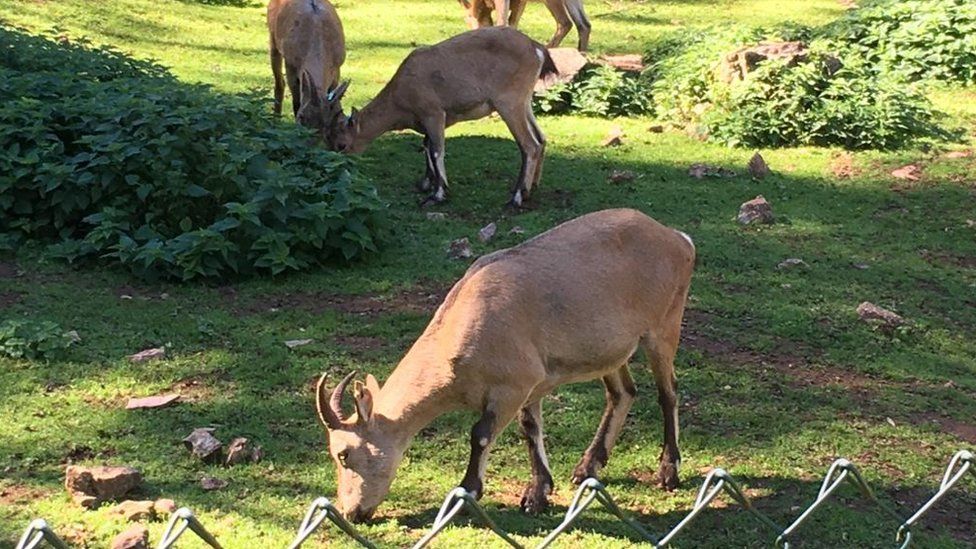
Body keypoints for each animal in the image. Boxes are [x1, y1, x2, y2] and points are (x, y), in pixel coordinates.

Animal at [268, 0, 349, 143]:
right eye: (301, 117)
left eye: (327, 124)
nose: (310, 144)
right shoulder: (292, 63)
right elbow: (296, 101)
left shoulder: (337, 66)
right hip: (273, 38)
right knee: (279, 82)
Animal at [316, 208, 696, 522]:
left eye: (343, 454)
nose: (352, 512)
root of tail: (678, 238)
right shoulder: (532, 383)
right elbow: (530, 428)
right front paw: (538, 494)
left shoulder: (513, 385)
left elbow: (480, 434)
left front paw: (468, 492)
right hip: (611, 350)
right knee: (623, 392)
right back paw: (587, 467)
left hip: (663, 328)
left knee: (668, 393)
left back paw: (668, 471)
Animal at [329, 27, 557, 207]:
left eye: (342, 144)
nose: (338, 169)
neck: (401, 93)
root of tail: (536, 48)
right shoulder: (429, 121)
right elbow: (427, 146)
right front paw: (426, 184)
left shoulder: (433, 113)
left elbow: (437, 150)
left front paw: (438, 194)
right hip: (524, 101)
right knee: (541, 138)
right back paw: (532, 187)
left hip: (508, 102)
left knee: (529, 144)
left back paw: (517, 197)